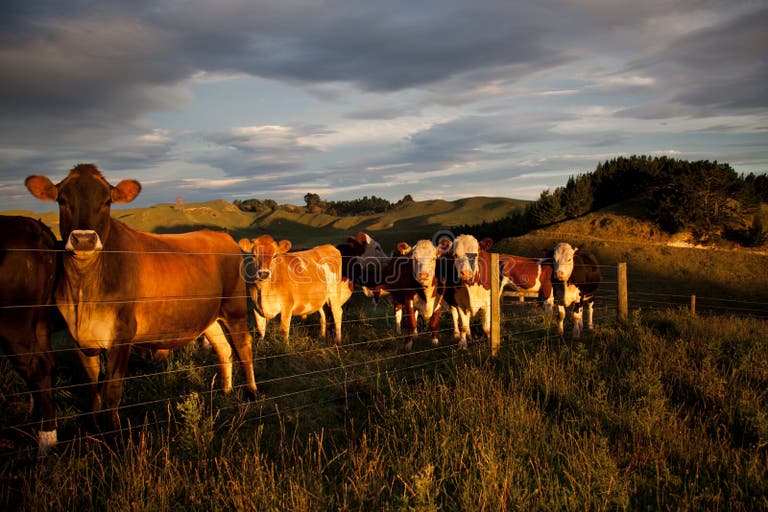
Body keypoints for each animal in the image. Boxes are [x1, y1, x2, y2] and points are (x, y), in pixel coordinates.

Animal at [25, 164, 257, 432]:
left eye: (107, 201)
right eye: (62, 200)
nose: (84, 239)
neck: (84, 293)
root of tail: (220, 235)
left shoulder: (123, 334)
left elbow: (112, 390)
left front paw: (114, 432)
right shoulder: (79, 338)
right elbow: (92, 386)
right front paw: (94, 426)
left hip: (235, 306)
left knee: (243, 345)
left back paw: (251, 393)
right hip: (208, 315)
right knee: (224, 348)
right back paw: (226, 391)